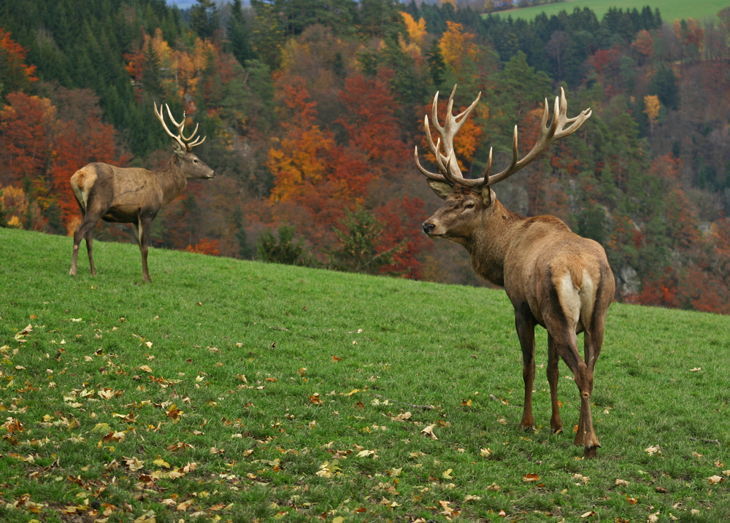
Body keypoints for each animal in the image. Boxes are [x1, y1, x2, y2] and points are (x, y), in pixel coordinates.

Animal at [68, 103, 214, 283]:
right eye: (195, 160)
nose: (212, 172)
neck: (163, 189)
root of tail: (79, 176)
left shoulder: (133, 218)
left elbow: (139, 246)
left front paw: (144, 275)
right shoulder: (147, 212)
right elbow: (145, 247)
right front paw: (148, 278)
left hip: (82, 206)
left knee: (89, 237)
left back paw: (93, 271)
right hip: (97, 205)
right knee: (78, 232)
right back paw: (73, 270)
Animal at [415, 86, 615, 458]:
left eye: (468, 204)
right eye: (448, 199)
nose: (428, 224)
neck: (504, 251)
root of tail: (584, 272)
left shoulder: (522, 308)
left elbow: (529, 367)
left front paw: (528, 423)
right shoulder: (549, 319)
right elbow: (551, 370)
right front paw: (556, 425)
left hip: (558, 312)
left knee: (581, 369)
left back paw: (589, 442)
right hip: (595, 316)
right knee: (591, 369)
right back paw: (583, 433)